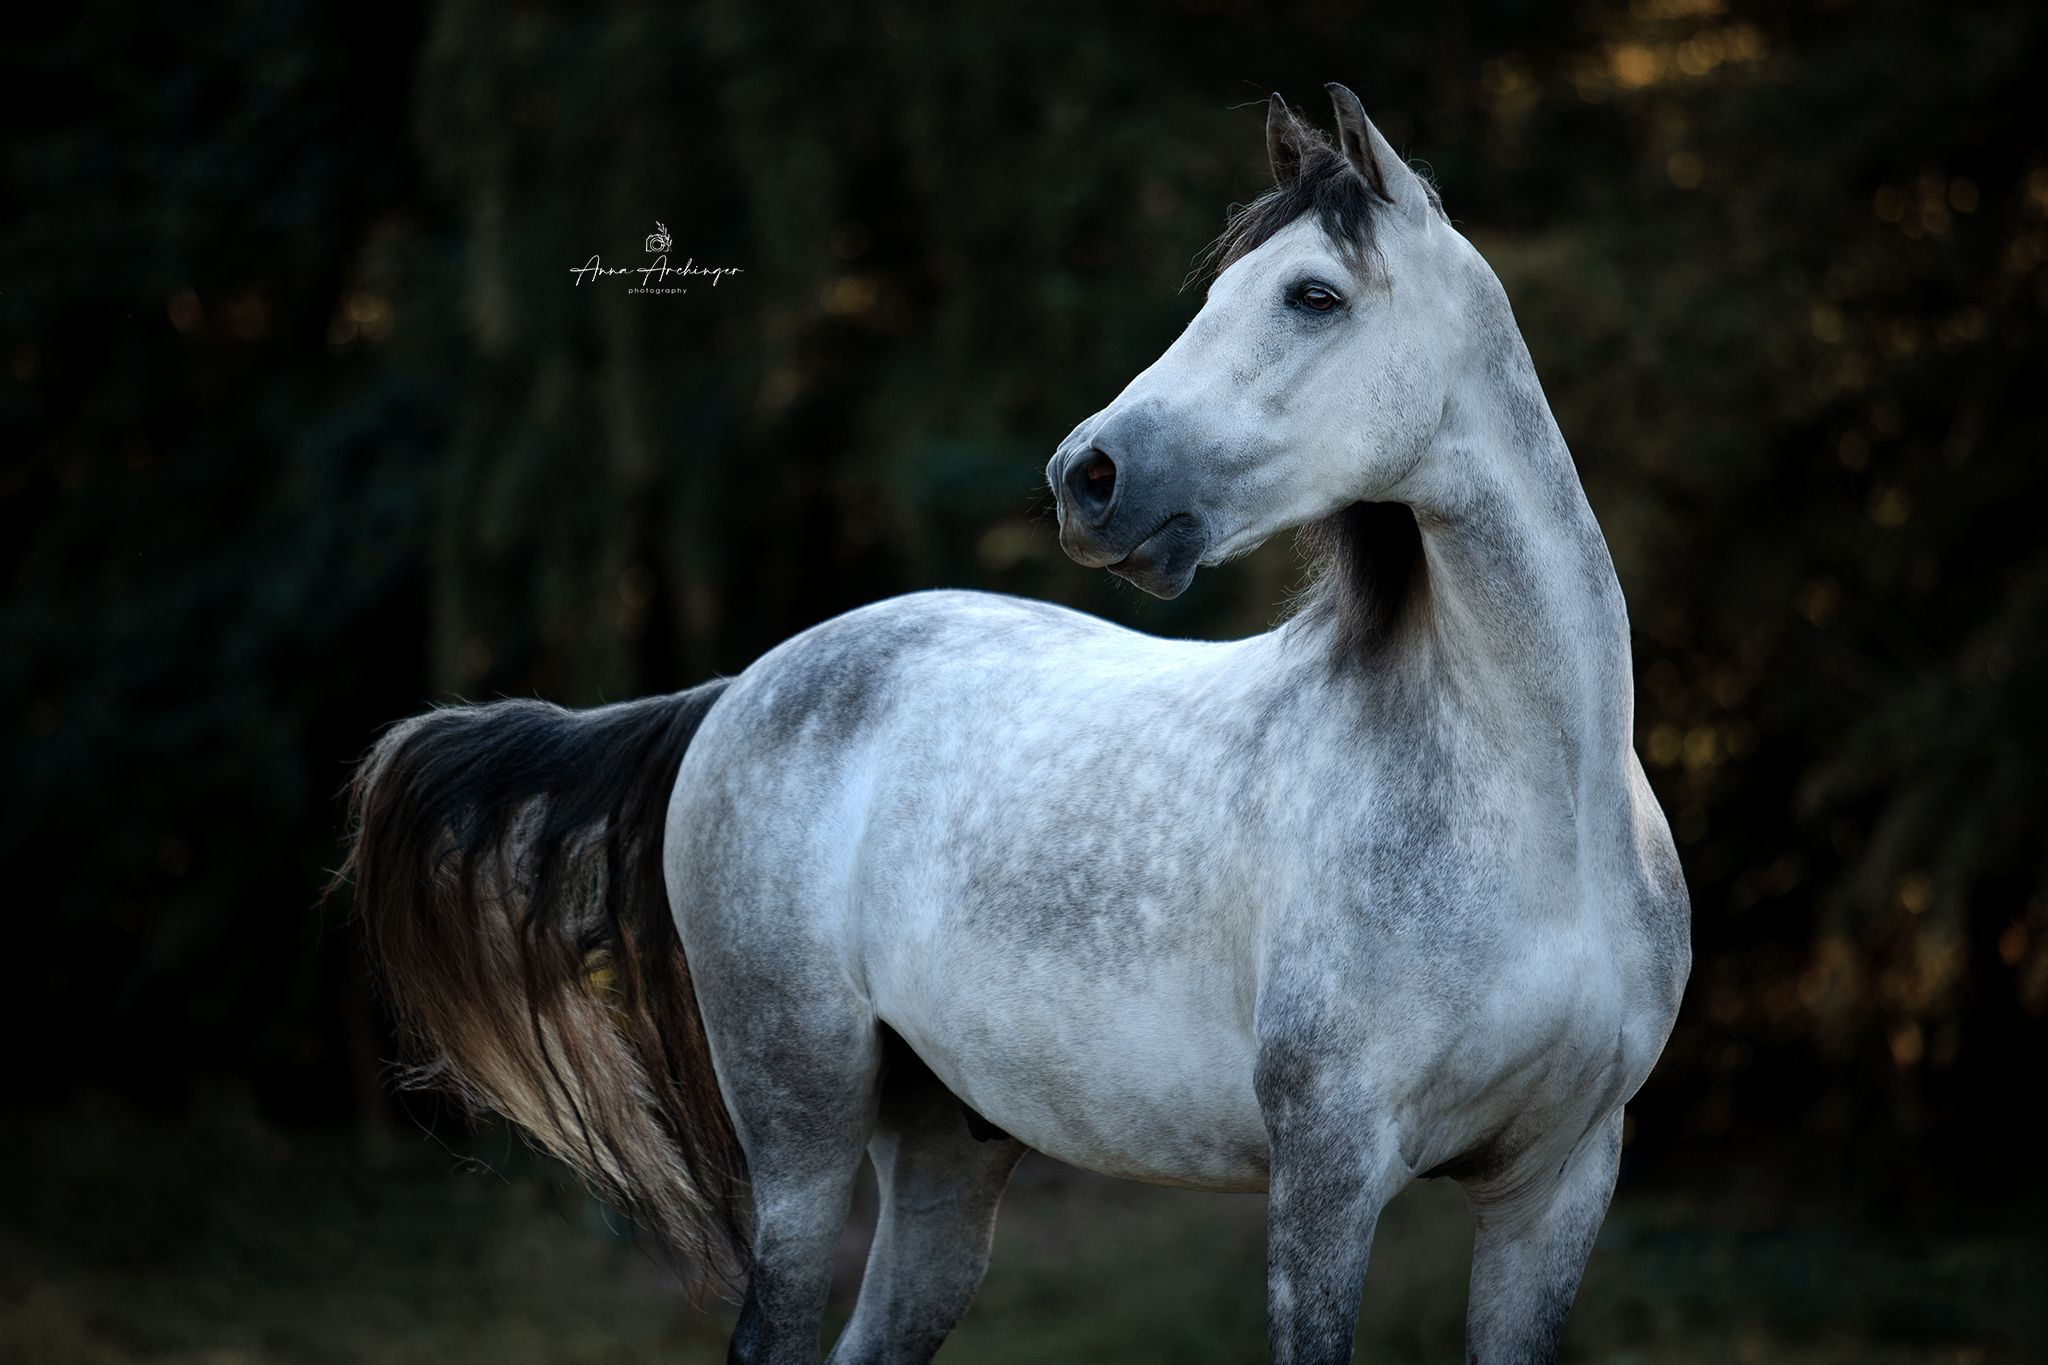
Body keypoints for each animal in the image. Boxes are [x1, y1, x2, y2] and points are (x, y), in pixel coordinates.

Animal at [340, 85, 1689, 1365]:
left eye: (1313, 295)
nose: (1085, 479)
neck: (1537, 814)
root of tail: (743, 688)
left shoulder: (1554, 1187)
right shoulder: (1329, 1175)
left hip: (947, 1146)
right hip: (799, 1128)